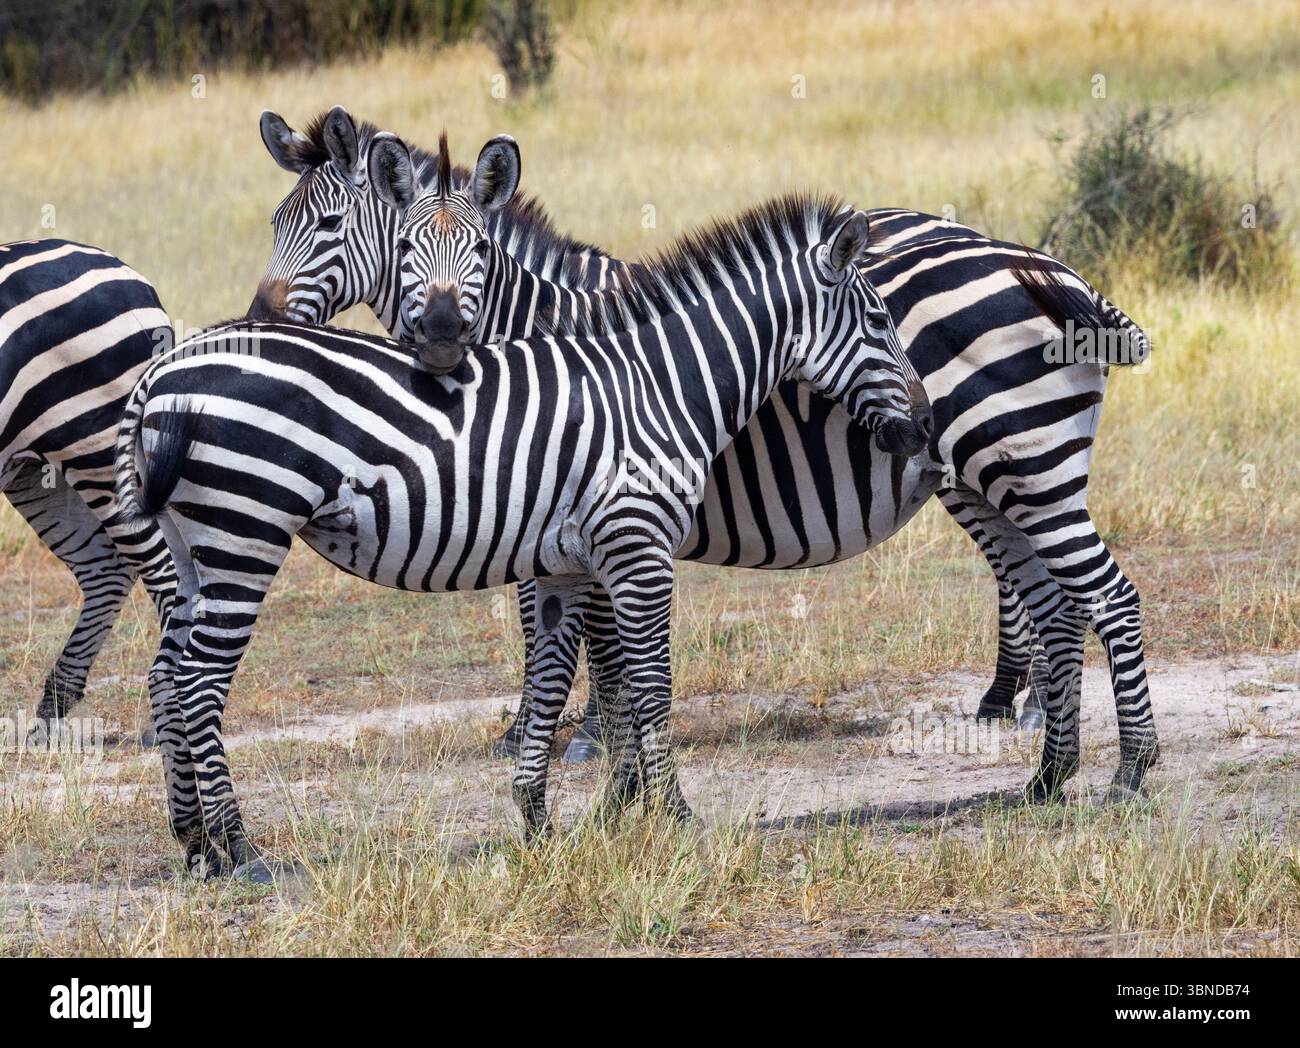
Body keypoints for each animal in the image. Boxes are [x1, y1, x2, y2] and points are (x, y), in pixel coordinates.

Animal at [1, 240, 178, 736]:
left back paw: (170, 707)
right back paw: (54, 706)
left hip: (95, 443)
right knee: (105, 565)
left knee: (161, 569)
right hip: (32, 466)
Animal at [112, 187, 929, 875]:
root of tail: (163, 372)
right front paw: (675, 818)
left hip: (196, 548)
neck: (659, 383)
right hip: (243, 535)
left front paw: (537, 820)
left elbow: (551, 682)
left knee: (166, 676)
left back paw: (196, 845)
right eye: (880, 322)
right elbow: (650, 687)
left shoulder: (569, 565)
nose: (923, 425)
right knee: (197, 684)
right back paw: (240, 847)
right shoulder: (638, 548)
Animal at [252, 108, 1159, 800]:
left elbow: (577, 636)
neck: (534, 326)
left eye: (328, 227)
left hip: (1023, 463)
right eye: (272, 225)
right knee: (1047, 592)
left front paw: (588, 749)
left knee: (1095, 593)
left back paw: (1114, 764)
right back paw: (1039, 746)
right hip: (984, 475)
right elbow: (587, 638)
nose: (259, 320)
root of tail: (1038, 263)